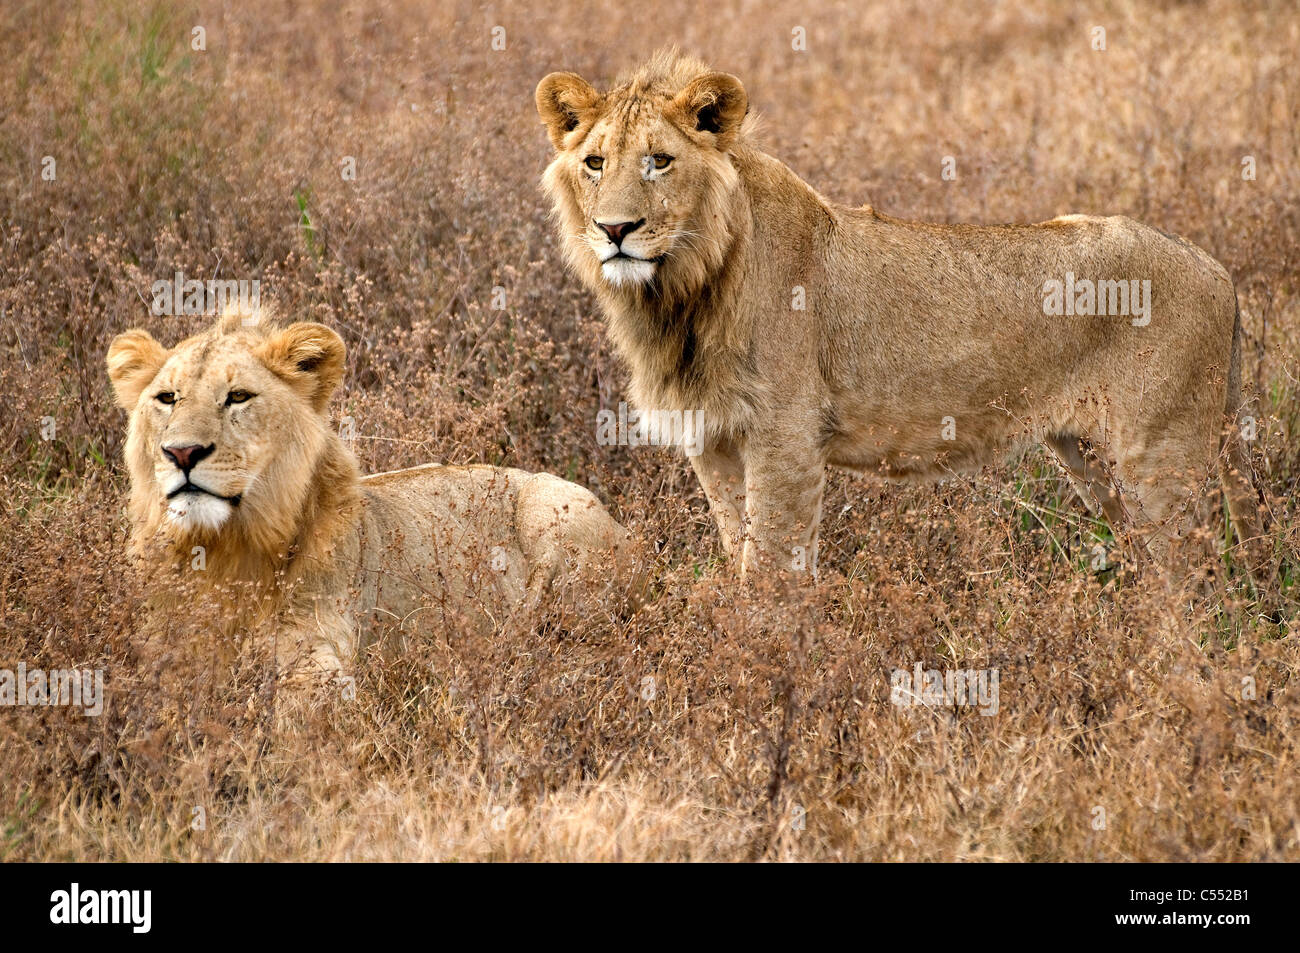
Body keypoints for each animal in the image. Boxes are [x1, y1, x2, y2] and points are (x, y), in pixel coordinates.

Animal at [106, 308, 645, 680]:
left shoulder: (321, 655)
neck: (224, 547)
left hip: (553, 512)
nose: (182, 452)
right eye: (167, 398)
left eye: (238, 397)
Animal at [536, 49, 1262, 578]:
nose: (615, 230)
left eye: (660, 161)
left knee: (1197, 577)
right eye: (594, 162)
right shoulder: (713, 444)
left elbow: (768, 577)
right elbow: (739, 557)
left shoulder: (786, 440)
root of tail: (1219, 271)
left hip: (1160, 456)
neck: (679, 293)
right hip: (1090, 457)